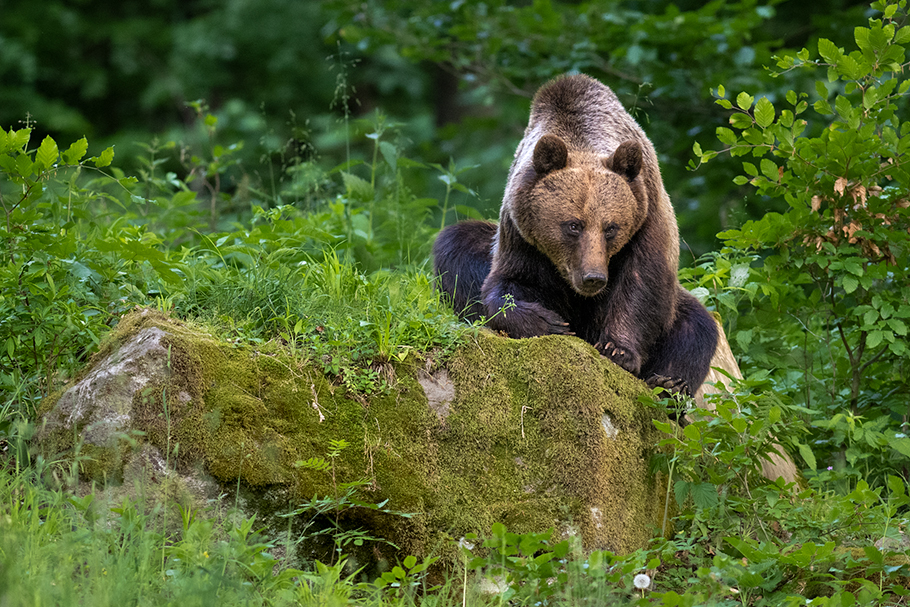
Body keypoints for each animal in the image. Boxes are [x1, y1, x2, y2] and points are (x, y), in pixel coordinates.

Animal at [433, 74, 718, 396]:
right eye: (573, 225)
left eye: (611, 227)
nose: (593, 277)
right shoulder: (520, 232)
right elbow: (510, 281)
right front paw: (547, 322)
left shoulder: (647, 212)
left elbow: (643, 281)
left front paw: (618, 349)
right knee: (458, 245)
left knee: (695, 325)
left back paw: (669, 383)